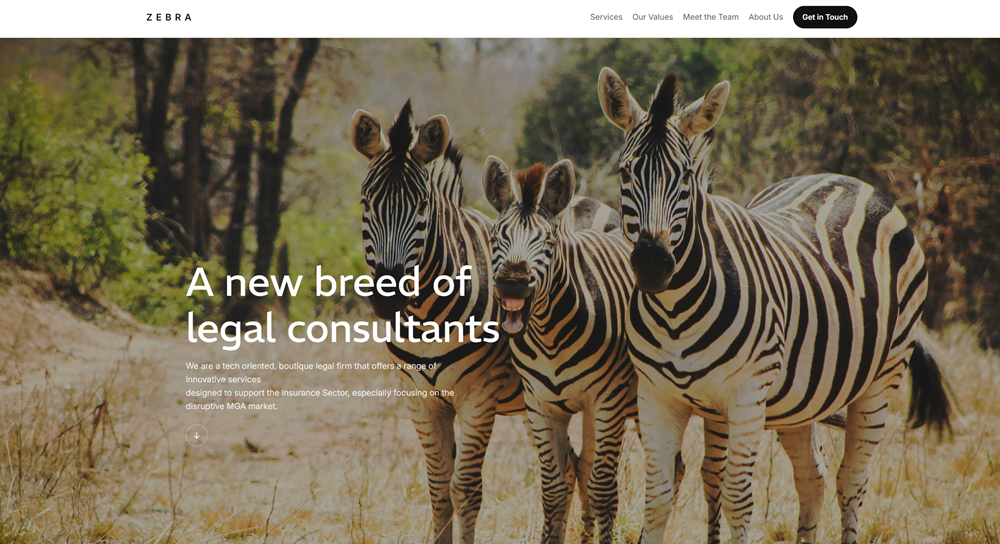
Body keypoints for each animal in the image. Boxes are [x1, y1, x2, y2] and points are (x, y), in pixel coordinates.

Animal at [350, 101, 524, 544]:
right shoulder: (421, 399)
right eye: (365, 204)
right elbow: (438, 487)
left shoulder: (479, 396)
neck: (426, 319)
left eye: (422, 208)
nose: (388, 297)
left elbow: (466, 490)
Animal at [483, 157, 637, 544]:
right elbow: (554, 490)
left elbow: (603, 490)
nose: (512, 283)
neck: (549, 335)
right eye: (495, 237)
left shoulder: (608, 401)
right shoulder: (539, 406)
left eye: (548, 241)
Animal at [597, 68, 952, 544]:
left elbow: (736, 498)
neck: (674, 312)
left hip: (883, 376)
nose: (653, 265)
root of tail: (850, 180)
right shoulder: (657, 396)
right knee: (812, 479)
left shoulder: (746, 397)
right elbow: (657, 499)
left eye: (685, 176)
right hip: (801, 399)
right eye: (625, 171)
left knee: (851, 481)